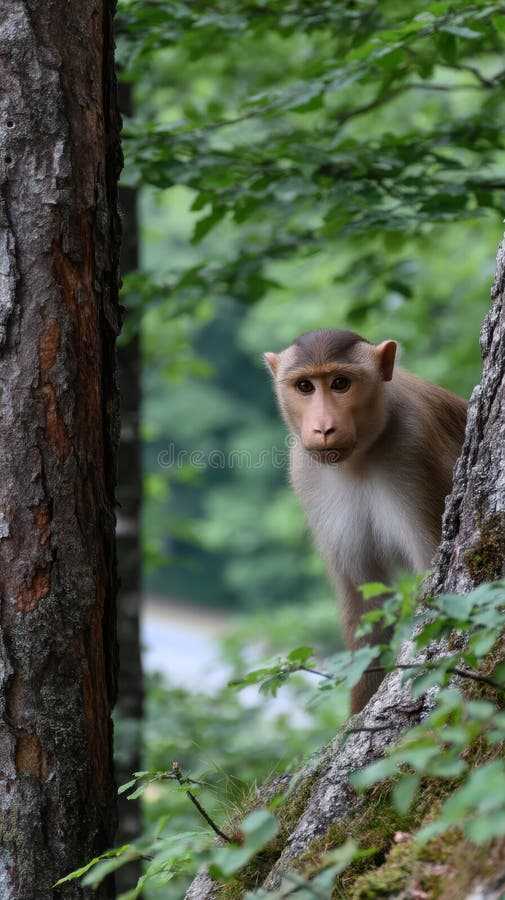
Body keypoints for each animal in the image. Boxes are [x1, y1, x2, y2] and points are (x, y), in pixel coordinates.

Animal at [264, 329, 467, 713]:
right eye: (305, 386)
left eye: (340, 383)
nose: (324, 428)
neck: (362, 455)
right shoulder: (305, 471)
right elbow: (366, 602)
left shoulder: (413, 449)